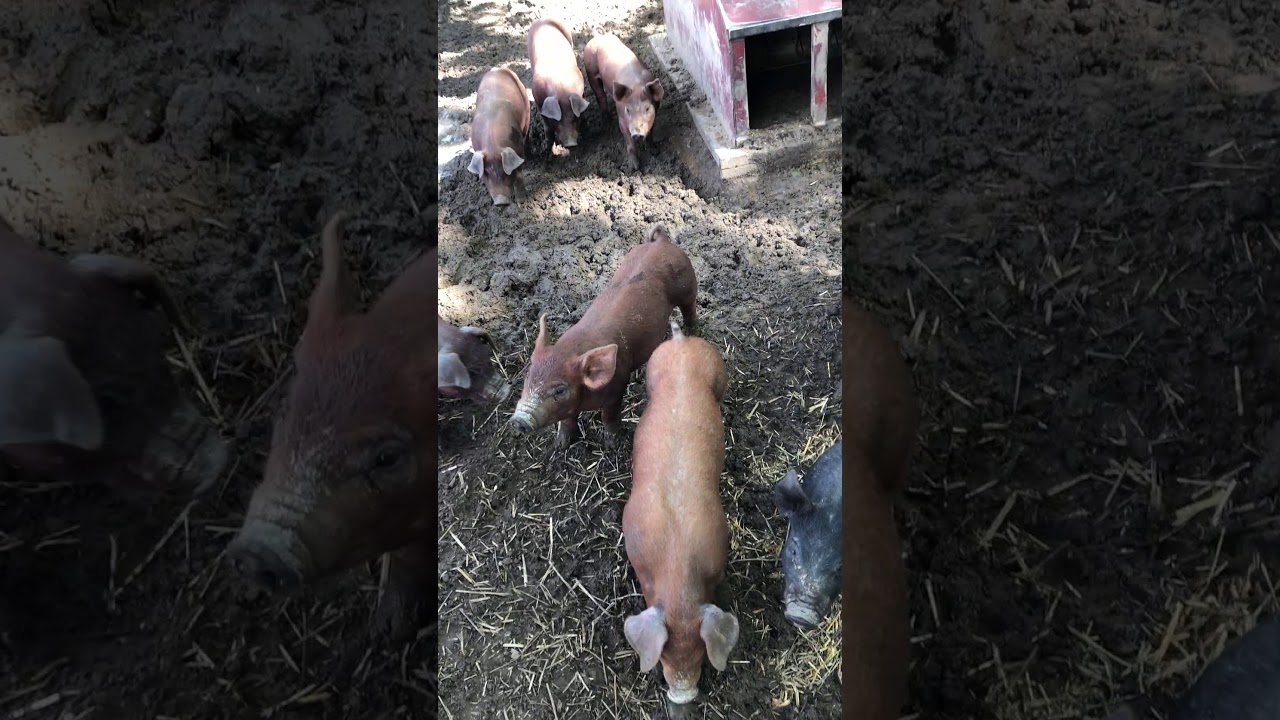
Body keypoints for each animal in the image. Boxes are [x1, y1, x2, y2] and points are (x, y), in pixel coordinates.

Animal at [469, 67, 532, 206]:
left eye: (504, 172)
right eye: (486, 172)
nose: (500, 201)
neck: (492, 144)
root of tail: (497, 69)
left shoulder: (518, 147)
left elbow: (519, 174)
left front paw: (521, 203)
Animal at [508, 225, 696, 449]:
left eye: (560, 390)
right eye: (528, 377)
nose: (518, 420)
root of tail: (661, 241)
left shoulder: (618, 385)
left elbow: (609, 416)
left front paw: (613, 443)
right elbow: (567, 419)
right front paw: (561, 445)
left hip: (688, 285)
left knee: (689, 308)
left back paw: (693, 329)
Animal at [527, 18, 589, 151]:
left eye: (574, 117)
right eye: (557, 120)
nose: (571, 144)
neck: (561, 89)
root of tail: (542, 20)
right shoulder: (538, 101)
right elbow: (546, 125)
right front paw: (547, 147)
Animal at [583, 33, 665, 171]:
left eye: (647, 108)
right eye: (628, 110)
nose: (637, 133)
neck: (637, 85)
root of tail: (597, 37)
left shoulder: (655, 114)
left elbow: (650, 134)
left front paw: (655, 152)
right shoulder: (621, 119)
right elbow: (629, 143)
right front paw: (635, 168)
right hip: (590, 71)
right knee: (600, 95)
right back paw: (607, 124)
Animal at [622, 319, 738, 706]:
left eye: (701, 654)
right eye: (664, 657)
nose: (683, 697)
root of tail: (682, 341)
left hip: (717, 371)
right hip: (651, 370)